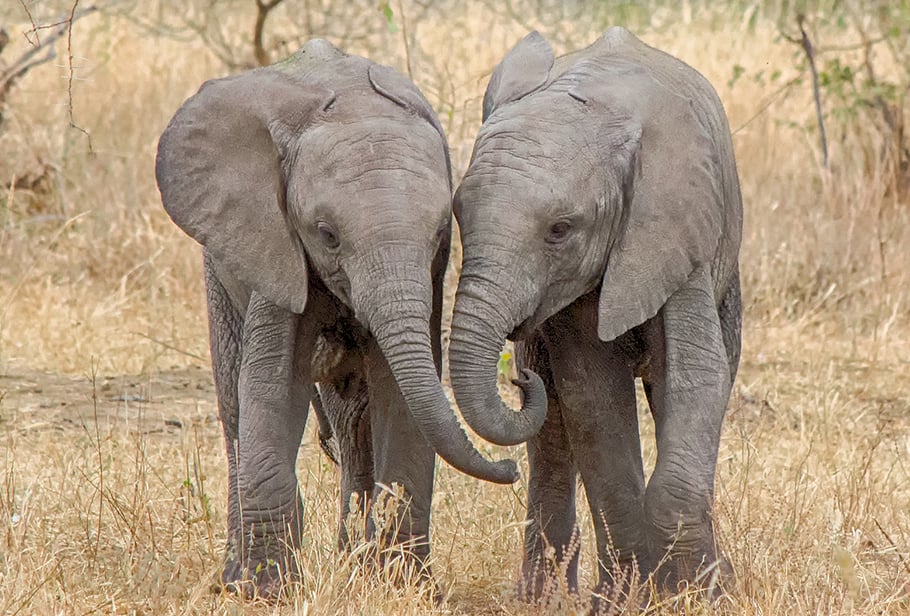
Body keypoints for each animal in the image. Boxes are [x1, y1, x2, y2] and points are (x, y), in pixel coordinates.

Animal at [154, 39, 520, 598]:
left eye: (442, 230)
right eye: (326, 235)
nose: (513, 466)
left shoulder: (431, 275)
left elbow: (400, 391)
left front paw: (404, 588)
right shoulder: (275, 239)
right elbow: (271, 384)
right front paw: (268, 592)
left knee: (353, 419)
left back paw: (355, 565)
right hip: (220, 263)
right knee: (235, 404)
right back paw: (235, 578)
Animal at [446, 28, 743, 605]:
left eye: (560, 230)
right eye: (457, 214)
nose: (520, 378)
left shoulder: (675, 232)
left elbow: (696, 379)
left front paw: (695, 594)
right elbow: (592, 398)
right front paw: (629, 597)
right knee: (552, 436)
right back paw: (541, 599)